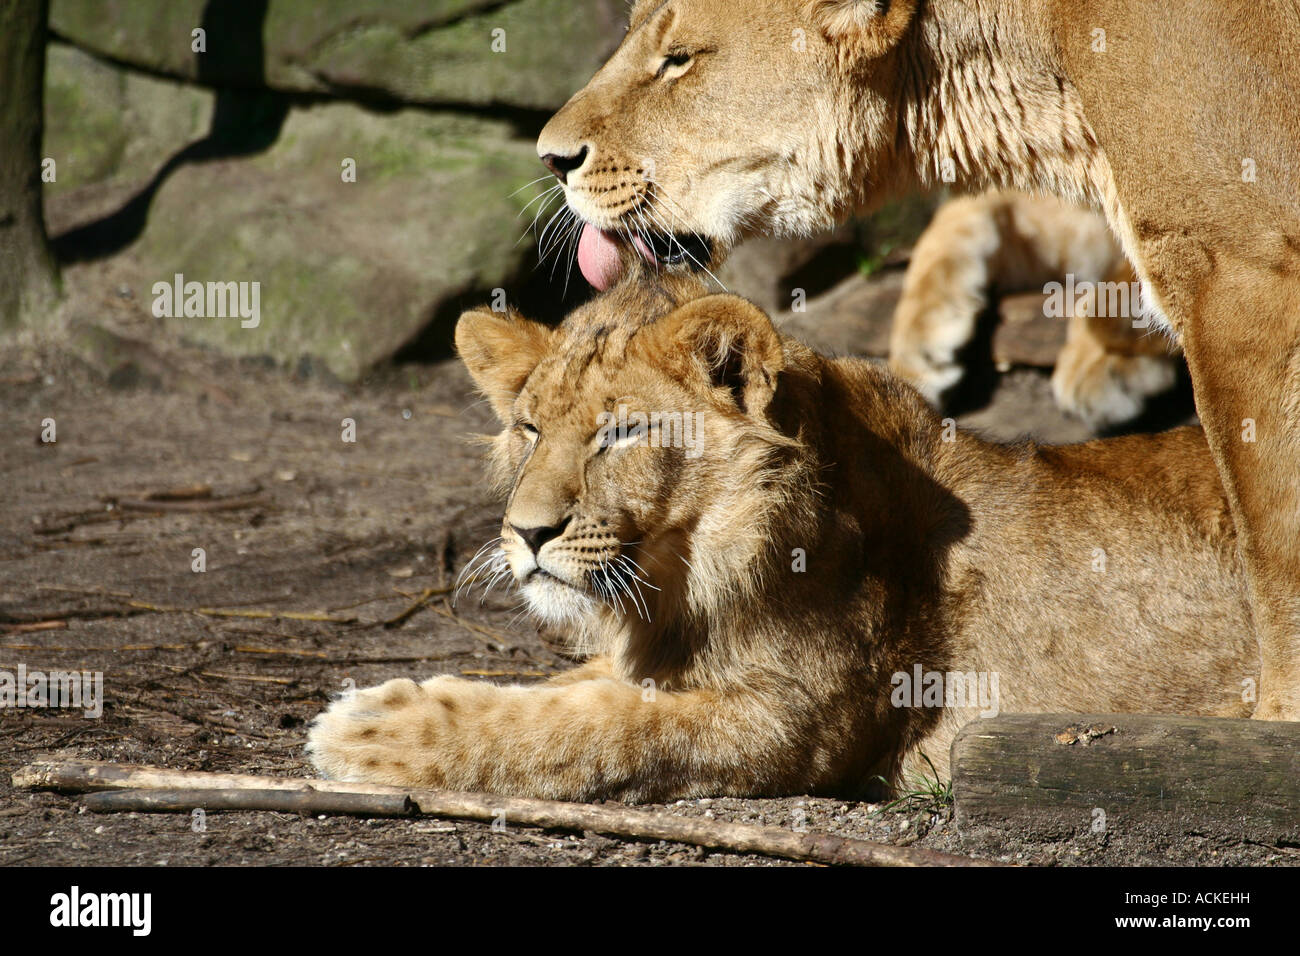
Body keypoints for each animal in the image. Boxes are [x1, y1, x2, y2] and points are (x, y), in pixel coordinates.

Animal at [307, 278, 1256, 801]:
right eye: (530, 430)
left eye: (622, 434)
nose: (526, 532)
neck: (690, 581)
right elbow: (561, 694)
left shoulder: (797, 725)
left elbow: (598, 727)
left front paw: (366, 731)